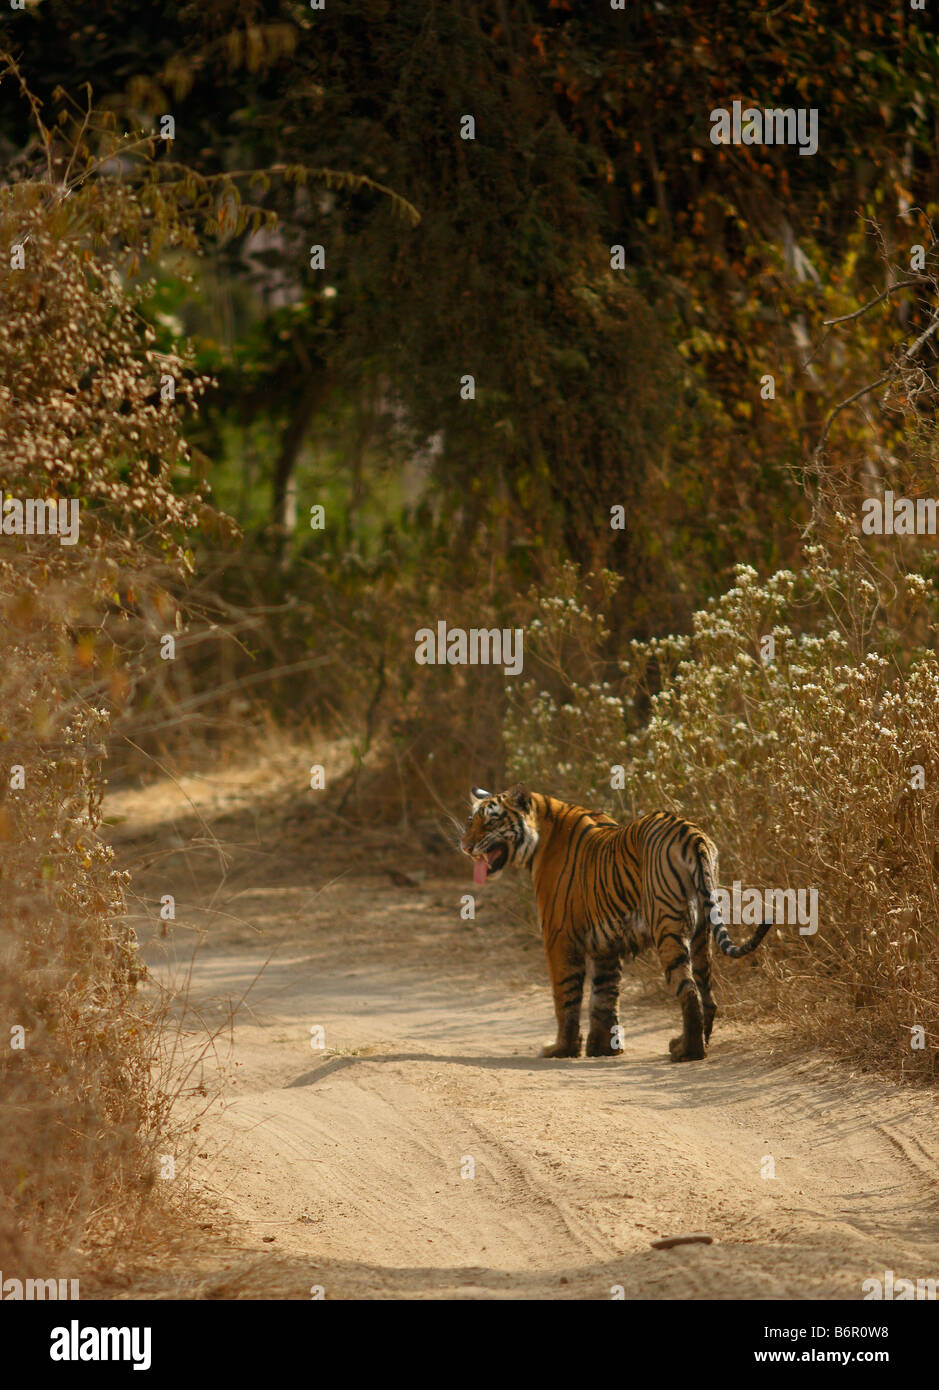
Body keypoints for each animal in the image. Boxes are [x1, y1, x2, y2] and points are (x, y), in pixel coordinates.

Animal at [460, 784, 770, 1062]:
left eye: (491, 821)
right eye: (471, 821)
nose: (465, 847)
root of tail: (692, 834)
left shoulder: (558, 936)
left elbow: (565, 997)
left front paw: (561, 1048)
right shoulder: (605, 943)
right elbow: (604, 995)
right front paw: (603, 1048)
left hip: (668, 928)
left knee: (689, 990)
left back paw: (687, 1052)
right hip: (702, 931)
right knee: (708, 994)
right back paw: (694, 1044)